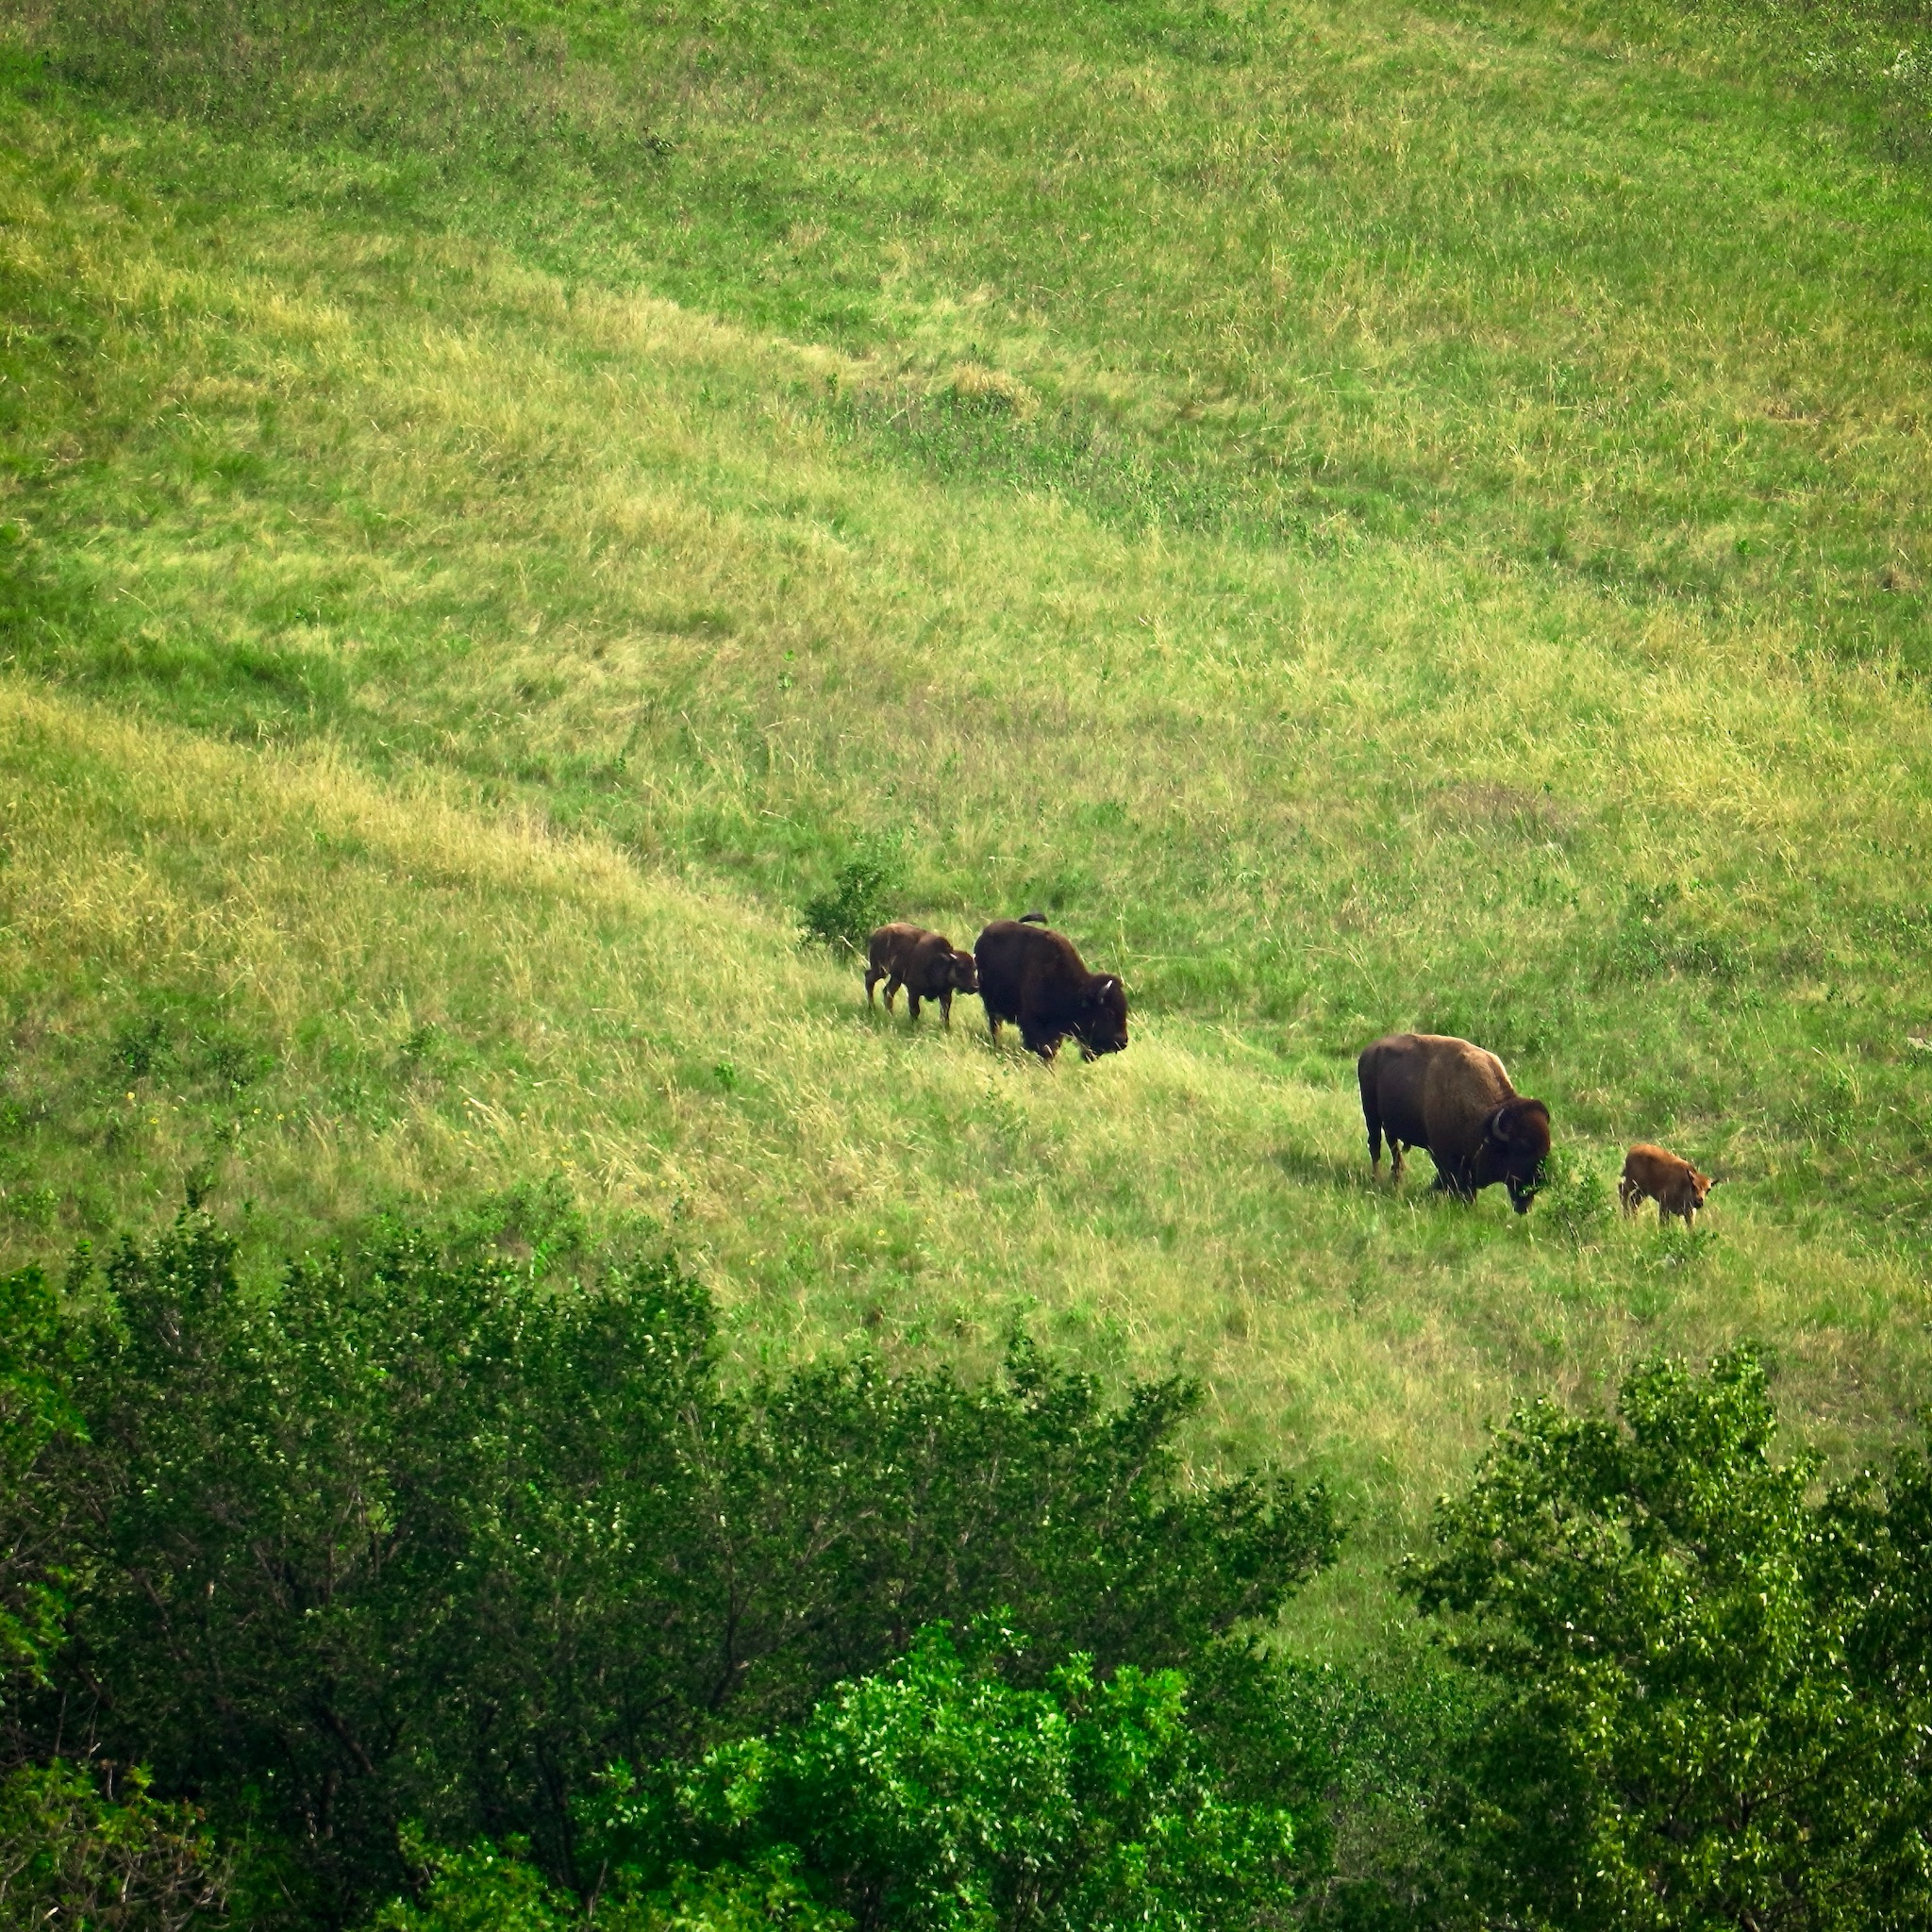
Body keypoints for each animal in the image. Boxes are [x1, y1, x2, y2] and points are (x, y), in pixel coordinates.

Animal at [974, 918, 1127, 1063]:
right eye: (1109, 1013)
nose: (1123, 1042)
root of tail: (984, 933)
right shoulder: (1032, 1021)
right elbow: (1046, 1049)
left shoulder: (1056, 1031)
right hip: (991, 1004)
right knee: (995, 1025)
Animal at [1357, 1031, 1550, 1213]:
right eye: (1522, 1148)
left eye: (1545, 1150)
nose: (1537, 1183)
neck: (1487, 1119)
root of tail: (1368, 1050)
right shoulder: (1441, 1153)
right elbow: (1449, 1180)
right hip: (1371, 1114)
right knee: (1375, 1146)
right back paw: (1377, 1179)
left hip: (1389, 1123)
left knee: (1393, 1146)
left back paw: (1397, 1177)